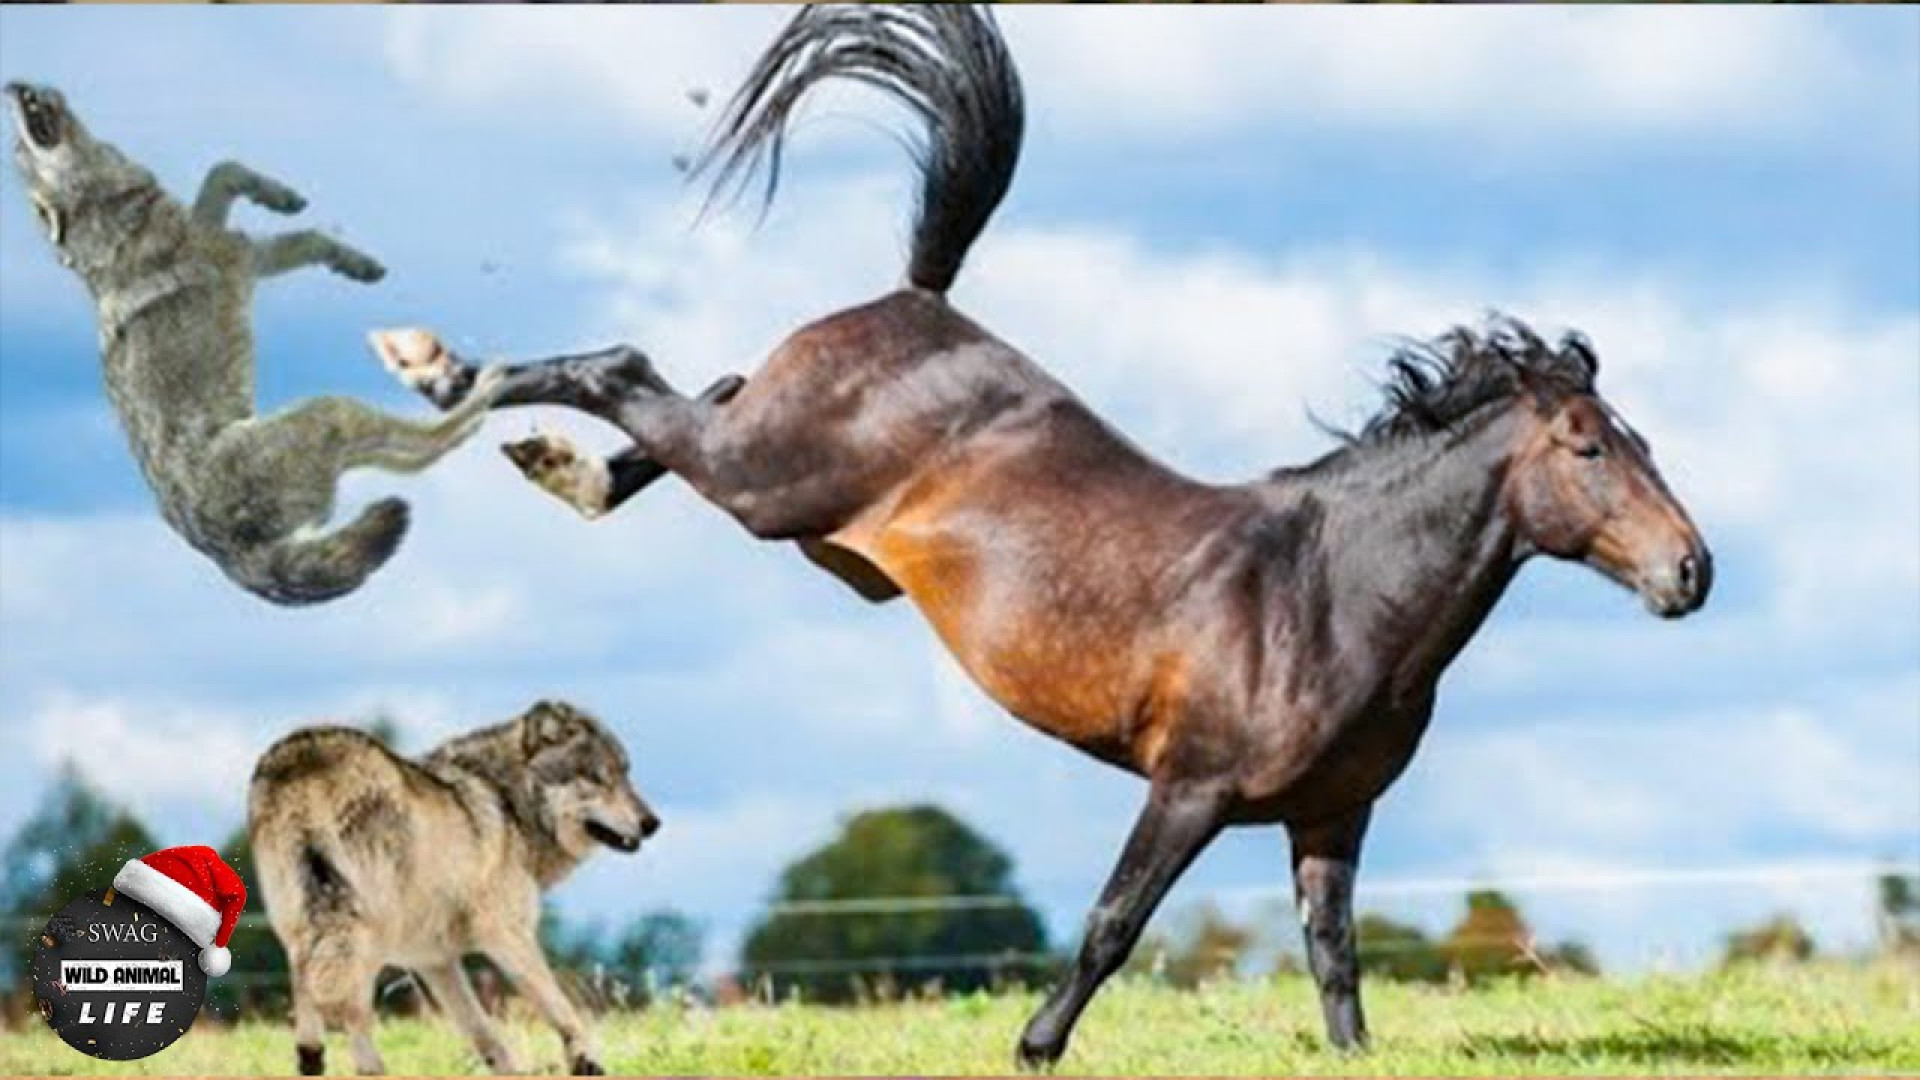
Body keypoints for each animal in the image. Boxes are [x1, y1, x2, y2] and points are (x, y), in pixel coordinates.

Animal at [6, 82, 502, 605]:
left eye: (16, 143)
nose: (14, 87)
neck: (110, 217)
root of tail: (228, 555)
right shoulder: (245, 257)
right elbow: (303, 234)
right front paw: (350, 258)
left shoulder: (221, 228)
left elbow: (225, 169)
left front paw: (286, 201)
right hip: (331, 413)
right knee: (437, 441)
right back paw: (488, 388)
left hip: (346, 444)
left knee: (423, 453)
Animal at [248, 701, 659, 1075]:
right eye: (598, 778)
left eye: (626, 774)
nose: (652, 822)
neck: (510, 805)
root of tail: (305, 761)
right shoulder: (507, 933)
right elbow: (562, 1008)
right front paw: (587, 1062)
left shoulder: (434, 959)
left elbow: (484, 1033)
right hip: (367, 927)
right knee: (353, 1012)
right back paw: (372, 1068)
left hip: (301, 925)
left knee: (309, 1007)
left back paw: (312, 1058)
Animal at [382, 6, 1712, 1066]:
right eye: (1591, 449)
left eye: (1640, 441)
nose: (1691, 573)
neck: (1328, 595)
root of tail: (917, 302)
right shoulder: (1190, 788)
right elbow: (1116, 923)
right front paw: (1032, 1046)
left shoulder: (1332, 818)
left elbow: (1334, 956)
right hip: (766, 480)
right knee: (626, 368)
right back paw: (442, 374)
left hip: (768, 476)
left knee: (694, 386)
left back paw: (558, 467)